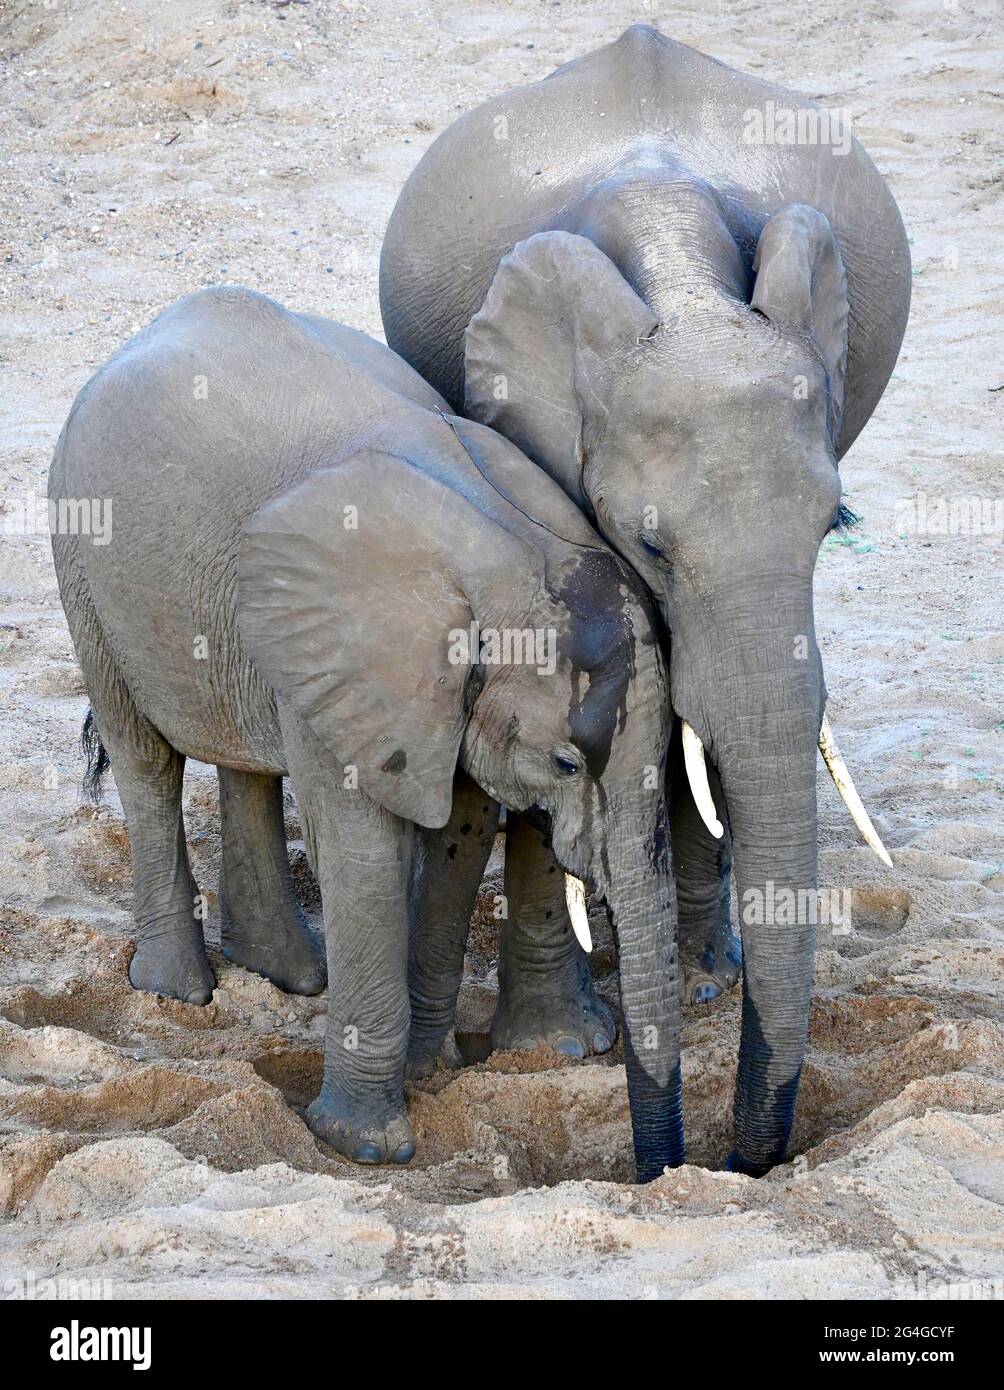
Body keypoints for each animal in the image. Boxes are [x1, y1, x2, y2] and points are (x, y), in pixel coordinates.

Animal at [49, 285, 683, 1177]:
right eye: (564, 763)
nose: (662, 1166)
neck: (512, 554)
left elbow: (458, 829)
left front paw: (426, 1072)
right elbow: (366, 851)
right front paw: (362, 1146)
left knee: (246, 760)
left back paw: (288, 975)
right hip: (82, 555)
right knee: (145, 760)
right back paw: (180, 992)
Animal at [379, 25, 910, 1175]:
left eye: (835, 525)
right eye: (651, 544)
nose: (740, 1162)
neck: (685, 283)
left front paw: (698, 977)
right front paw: (558, 1046)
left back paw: (700, 972)